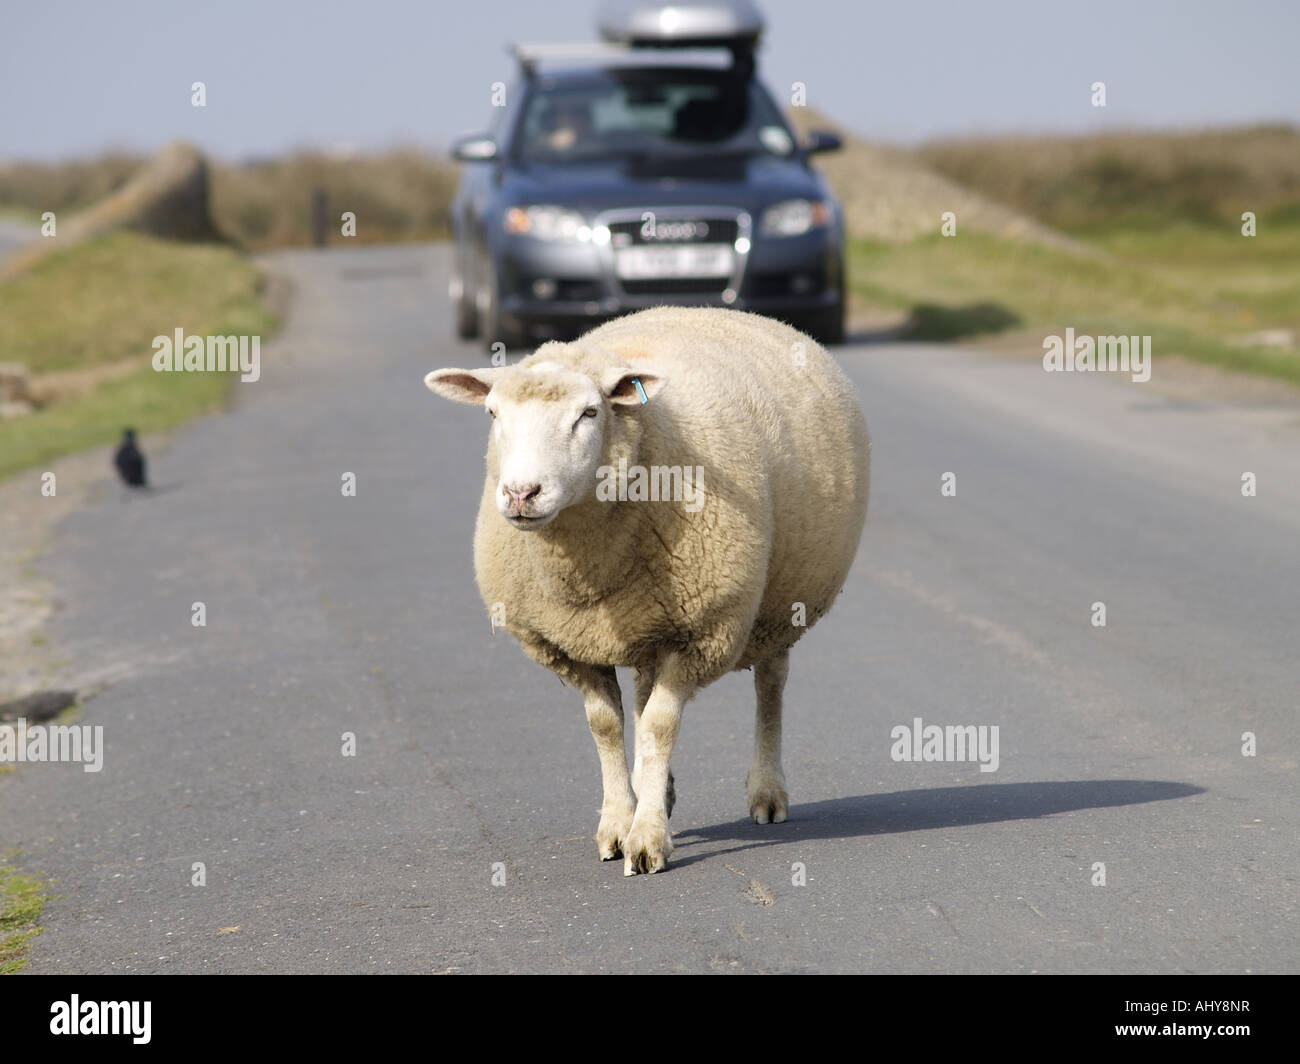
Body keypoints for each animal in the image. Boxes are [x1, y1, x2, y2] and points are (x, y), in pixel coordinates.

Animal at [425, 306, 870, 875]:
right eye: (491, 413)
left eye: (590, 413)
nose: (521, 494)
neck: (588, 565)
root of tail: (715, 311)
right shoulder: (573, 641)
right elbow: (607, 725)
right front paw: (619, 822)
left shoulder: (703, 631)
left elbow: (660, 725)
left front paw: (648, 837)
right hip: (652, 620)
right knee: (644, 689)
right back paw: (656, 786)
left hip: (775, 605)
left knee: (770, 686)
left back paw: (766, 793)